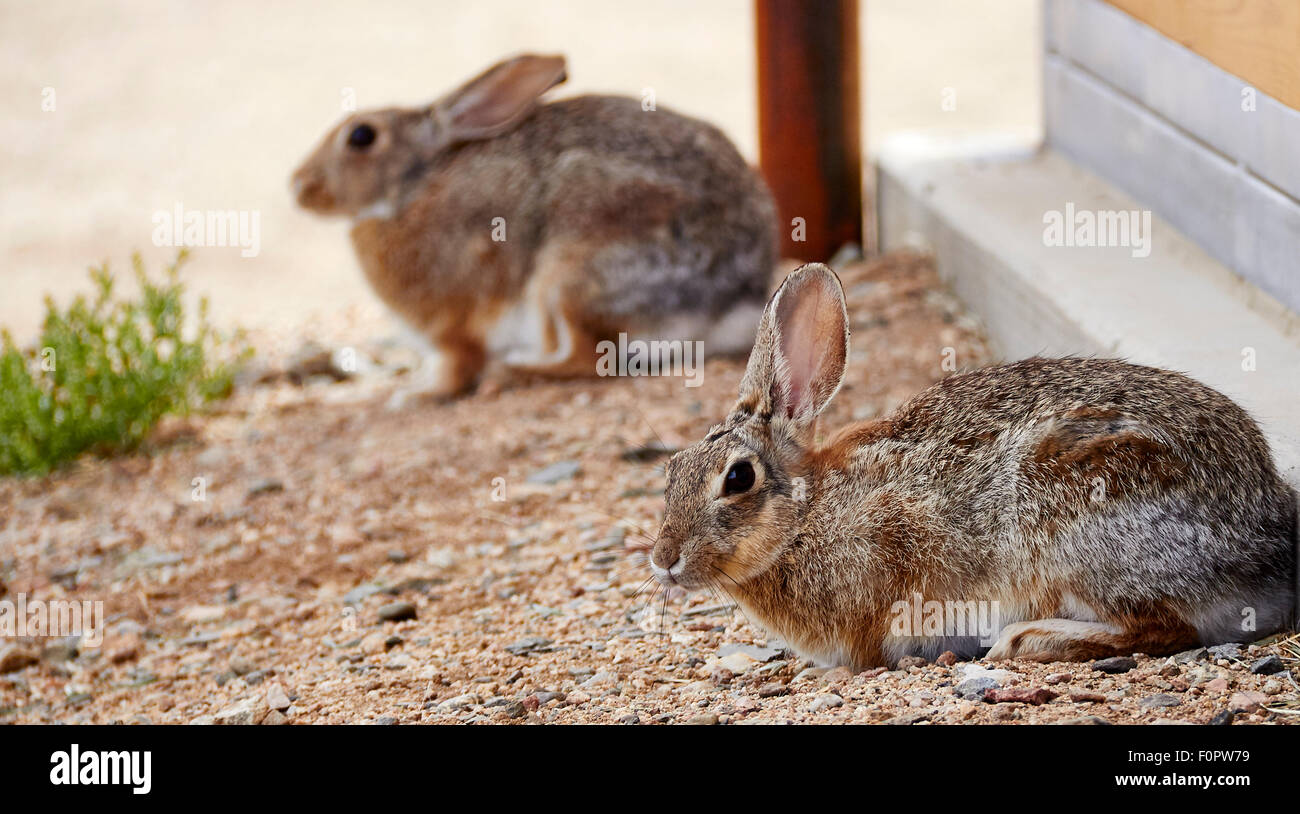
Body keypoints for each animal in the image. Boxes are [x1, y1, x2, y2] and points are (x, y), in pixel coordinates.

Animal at [291, 54, 777, 399]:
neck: (411, 190)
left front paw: (412, 396)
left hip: (569, 279)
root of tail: (737, 298)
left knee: (587, 359)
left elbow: (455, 368)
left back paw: (511, 371)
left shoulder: (452, 327)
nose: (297, 186)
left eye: (361, 137)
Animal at [651, 263, 1297, 669]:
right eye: (672, 469)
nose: (663, 561)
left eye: (739, 478)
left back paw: (1025, 640)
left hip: (1079, 529)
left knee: (1164, 628)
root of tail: (1269, 537)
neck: (803, 518)